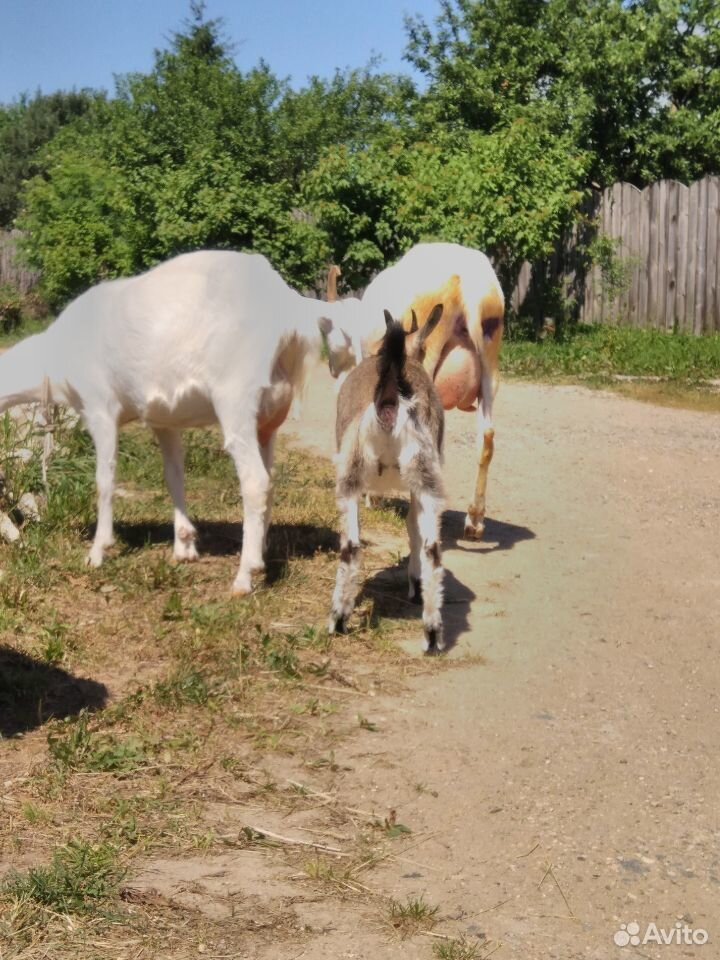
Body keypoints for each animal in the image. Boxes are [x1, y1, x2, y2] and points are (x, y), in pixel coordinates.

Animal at [0, 250, 351, 595]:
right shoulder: (163, 420)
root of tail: (287, 308)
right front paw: (184, 547)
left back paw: (244, 576)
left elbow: (104, 480)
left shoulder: (99, 407)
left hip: (235, 397)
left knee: (255, 481)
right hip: (270, 413)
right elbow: (173, 476)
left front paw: (98, 552)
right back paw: (261, 553)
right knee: (270, 479)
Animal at [327, 242, 504, 541]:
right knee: (487, 437)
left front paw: (372, 496)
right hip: (490, 365)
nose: (330, 369)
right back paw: (474, 521)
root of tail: (466, 285)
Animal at [330, 305, 446, 652]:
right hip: (425, 472)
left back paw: (338, 619)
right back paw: (432, 633)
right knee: (432, 548)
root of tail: (391, 399)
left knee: (351, 545)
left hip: (352, 473)